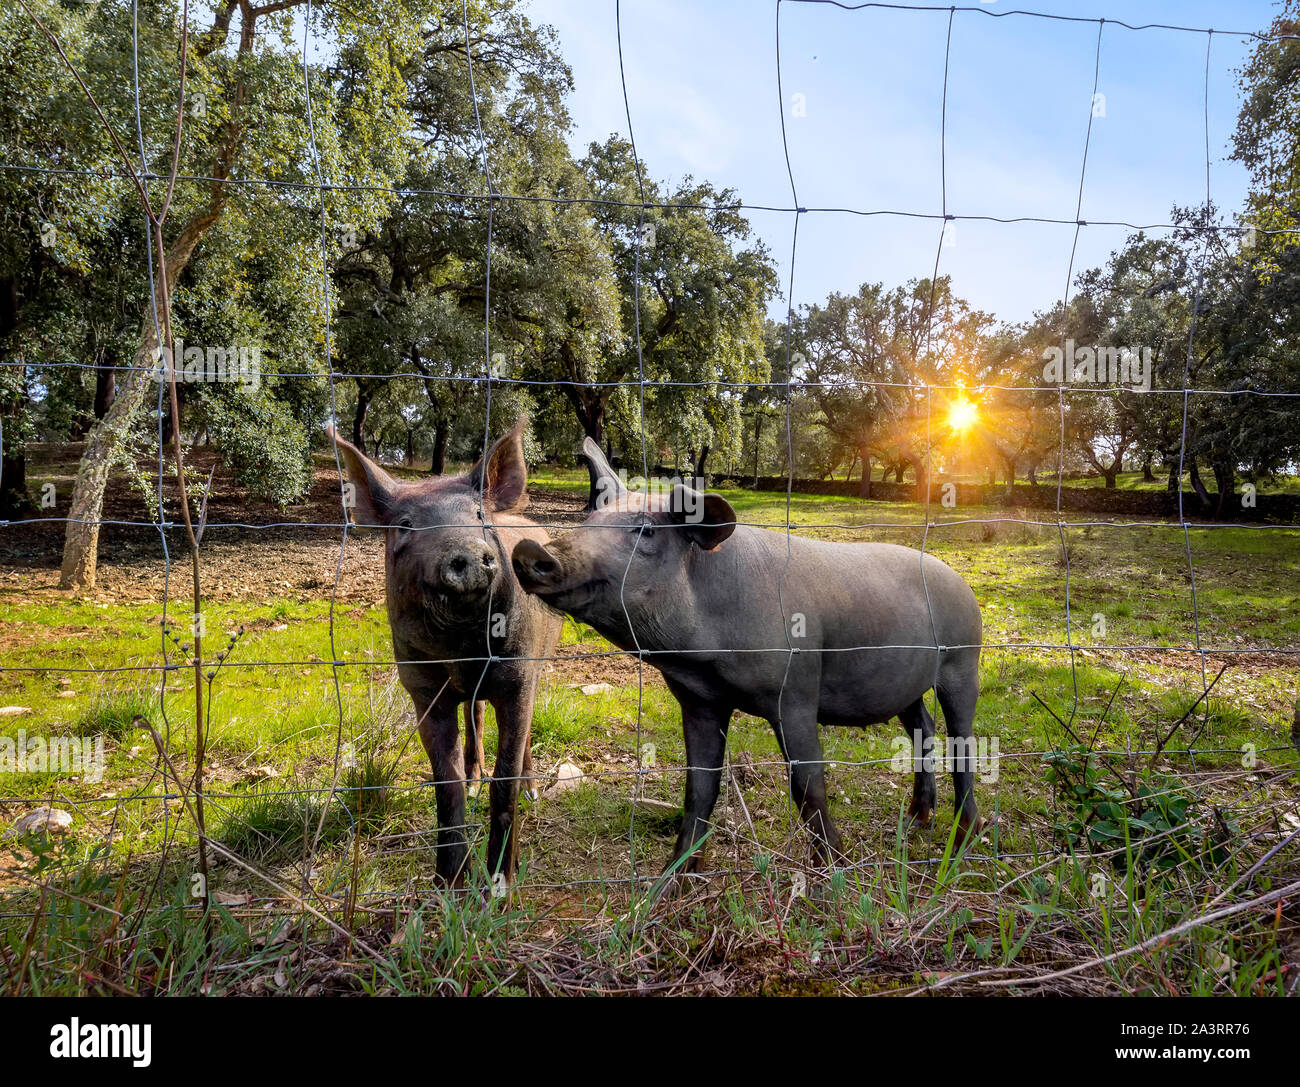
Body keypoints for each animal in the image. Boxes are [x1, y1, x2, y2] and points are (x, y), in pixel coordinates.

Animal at [330, 419, 562, 885]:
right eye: (403, 525)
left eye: (479, 517)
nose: (467, 554)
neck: (463, 654)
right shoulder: (421, 687)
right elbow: (445, 784)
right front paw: (448, 886)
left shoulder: (519, 674)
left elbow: (505, 779)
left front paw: (501, 887)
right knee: (475, 716)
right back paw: (474, 781)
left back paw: (533, 791)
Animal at [512, 438, 986, 876]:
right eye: (590, 520)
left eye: (646, 531)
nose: (531, 551)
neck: (702, 659)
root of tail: (961, 583)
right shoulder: (699, 700)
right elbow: (699, 788)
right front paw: (674, 878)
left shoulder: (795, 692)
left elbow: (807, 784)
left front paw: (833, 869)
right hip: (909, 684)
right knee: (923, 728)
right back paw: (917, 820)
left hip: (964, 660)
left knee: (961, 741)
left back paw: (964, 839)